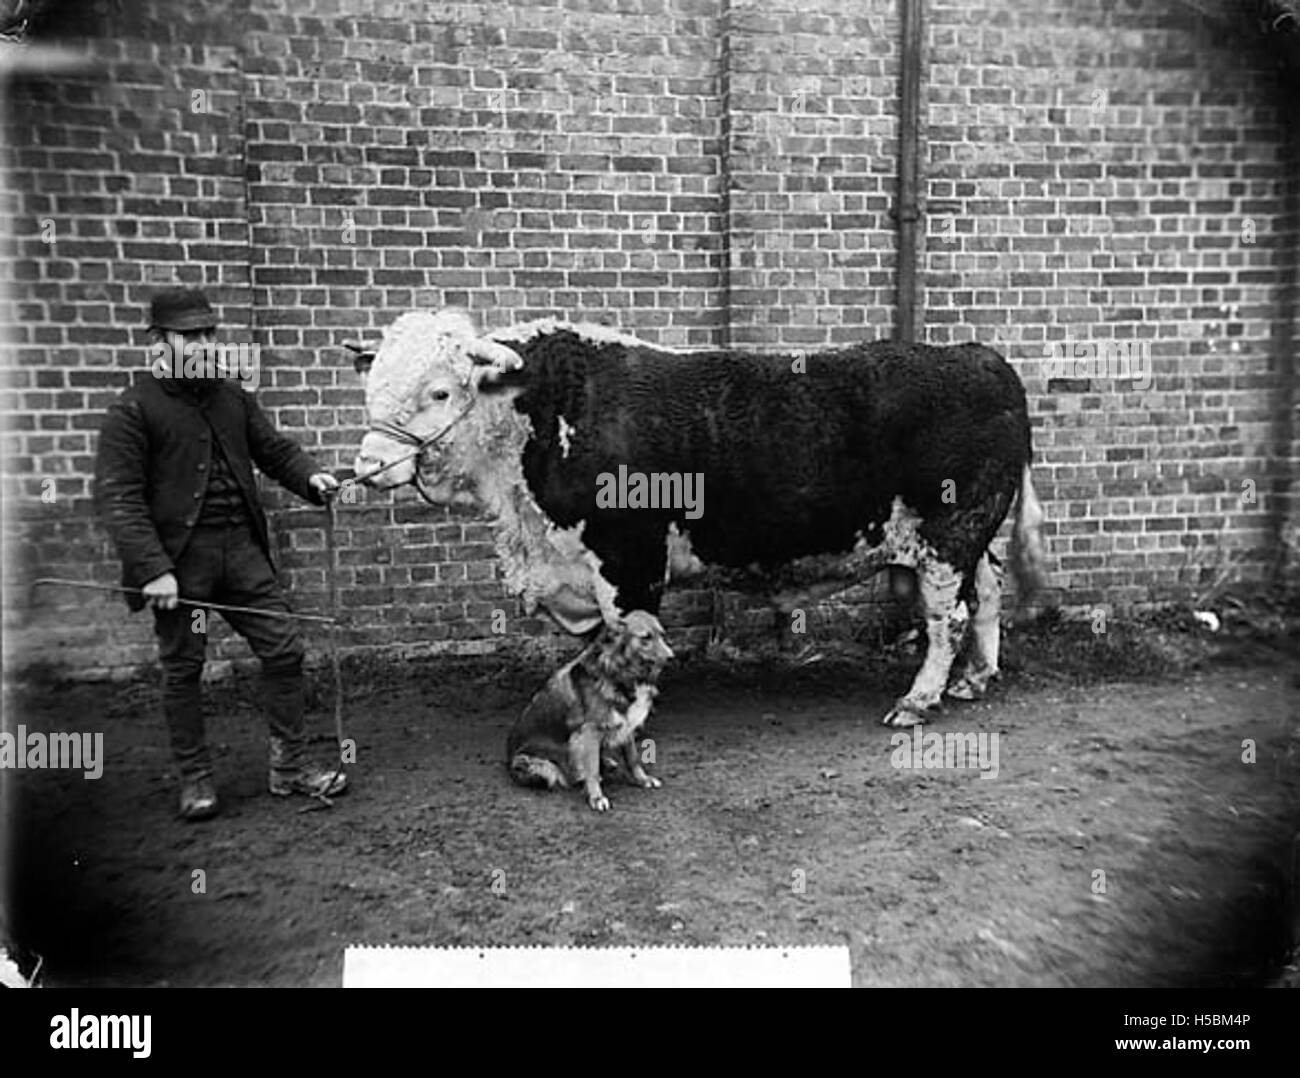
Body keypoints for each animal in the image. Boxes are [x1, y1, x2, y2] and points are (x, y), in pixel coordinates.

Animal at [351, 309, 1046, 728]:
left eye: (439, 390)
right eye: (372, 387)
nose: (369, 464)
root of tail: (979, 355)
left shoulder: (627, 556)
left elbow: (627, 632)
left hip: (947, 536)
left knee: (947, 619)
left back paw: (919, 699)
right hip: (972, 538)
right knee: (987, 596)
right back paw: (975, 680)